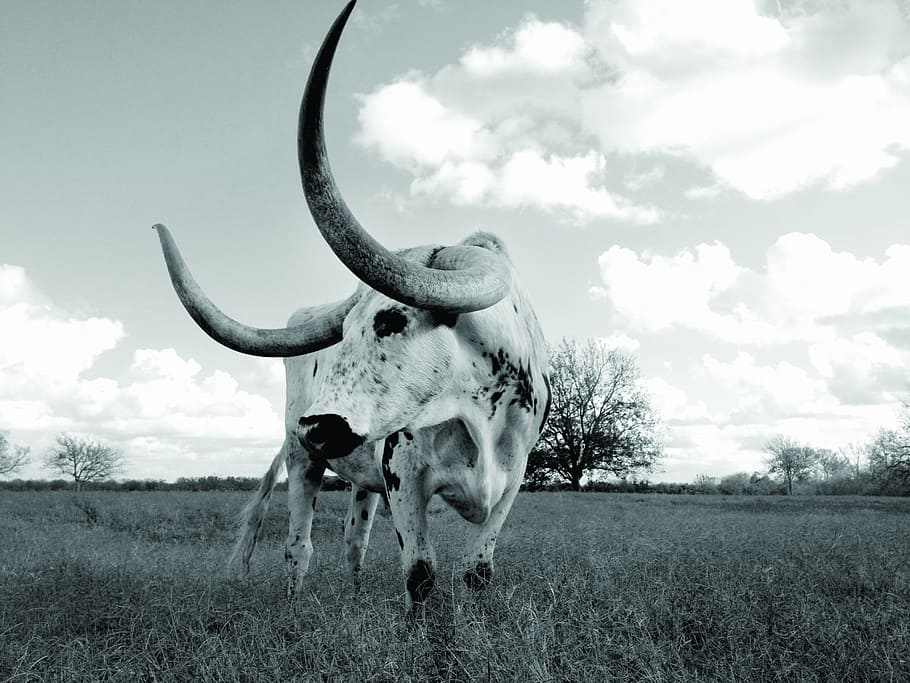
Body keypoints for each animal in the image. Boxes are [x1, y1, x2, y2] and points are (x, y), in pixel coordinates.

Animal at [152, 0, 550, 609]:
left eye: (391, 320)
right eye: (343, 335)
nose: (318, 425)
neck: (478, 409)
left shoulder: (511, 484)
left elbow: (475, 571)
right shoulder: (404, 475)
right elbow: (421, 576)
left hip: (358, 478)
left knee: (353, 542)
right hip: (303, 463)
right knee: (299, 545)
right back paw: (295, 604)